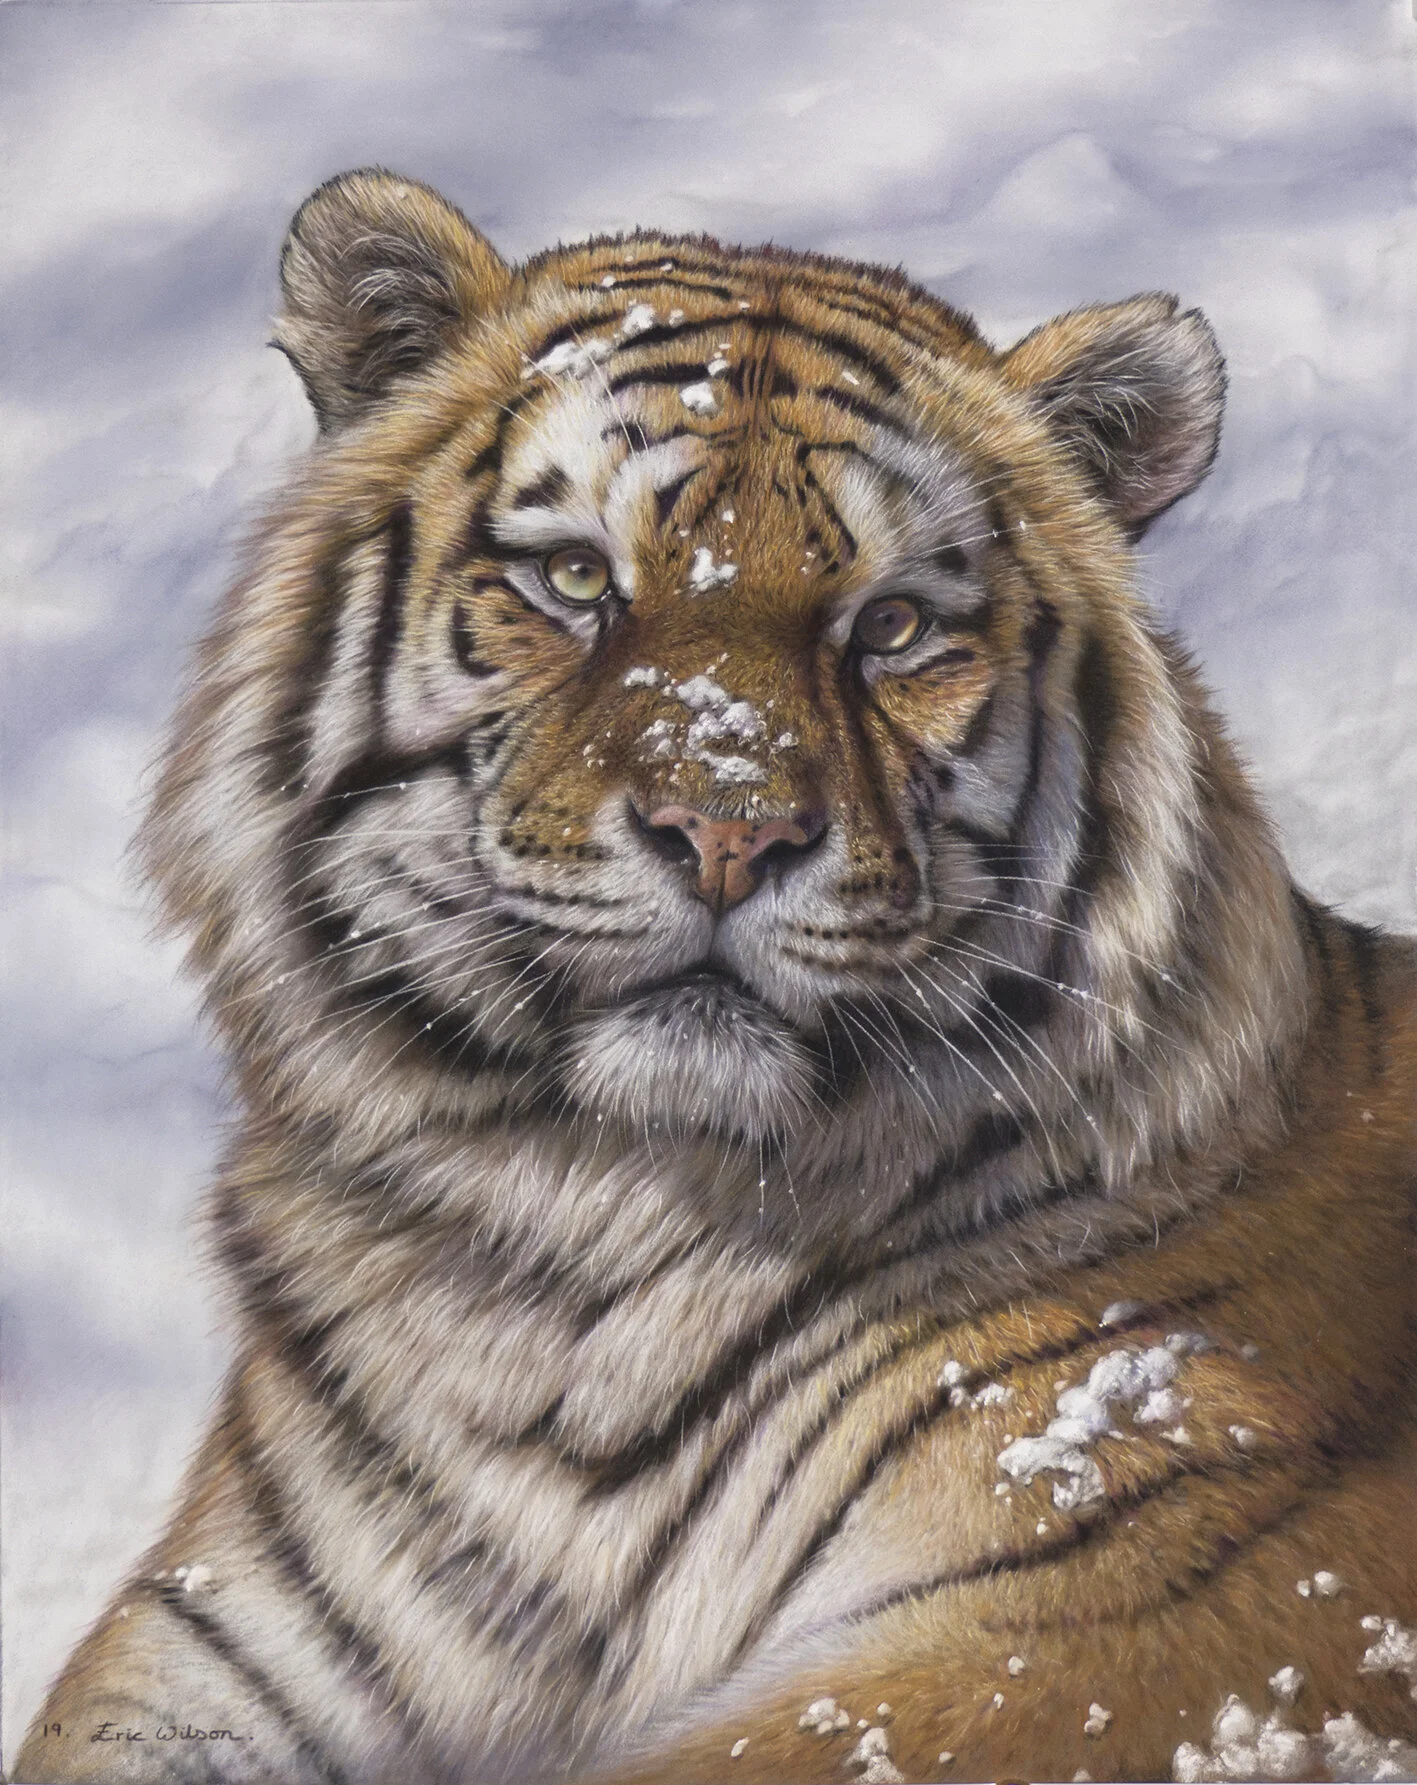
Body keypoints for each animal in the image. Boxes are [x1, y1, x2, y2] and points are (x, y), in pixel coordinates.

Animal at [16, 166, 1417, 1785]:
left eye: (891, 626)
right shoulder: (216, 1635)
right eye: (575, 578)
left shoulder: (1132, 1607)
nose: (729, 828)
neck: (580, 1250)